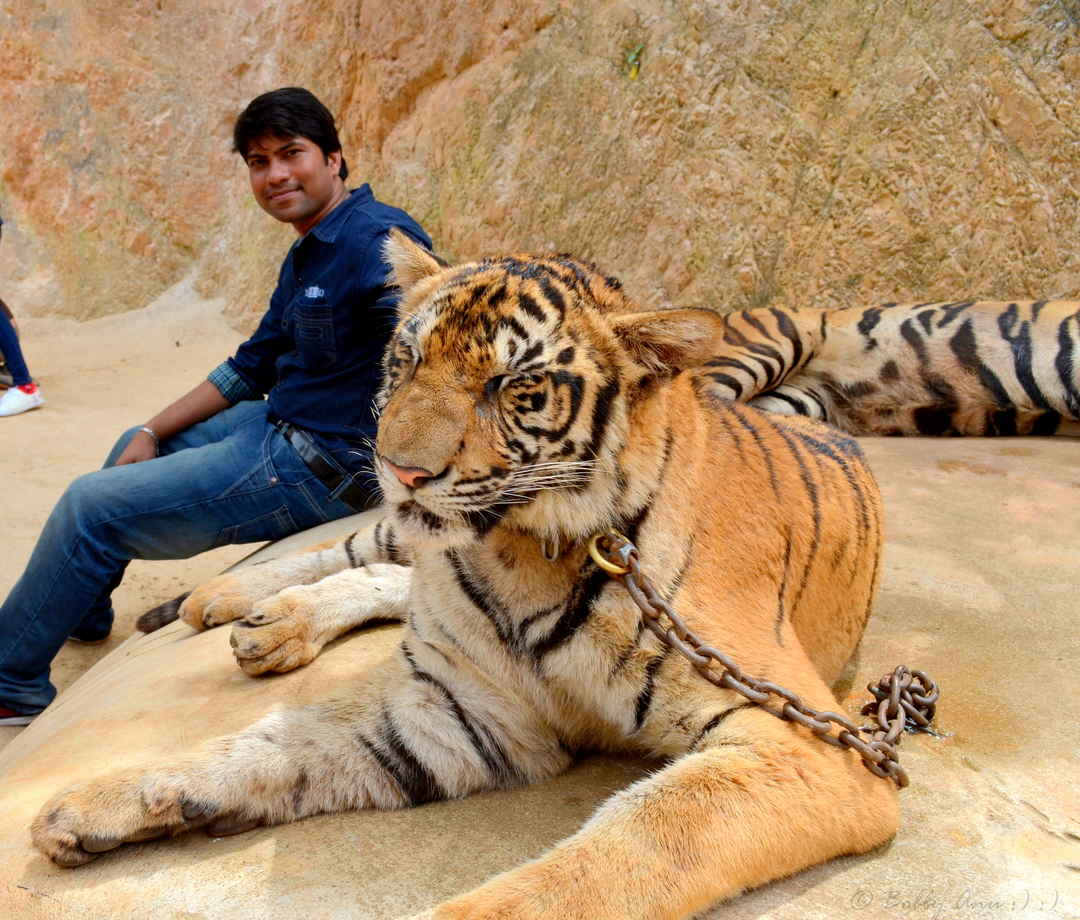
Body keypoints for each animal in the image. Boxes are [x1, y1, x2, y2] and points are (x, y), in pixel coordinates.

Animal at [32, 231, 1078, 920]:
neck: (517, 555)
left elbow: (622, 851)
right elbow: (261, 749)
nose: (400, 466)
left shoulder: (805, 742)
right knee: (370, 557)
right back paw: (239, 604)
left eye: (511, 386)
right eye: (404, 359)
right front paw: (95, 803)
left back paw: (267, 620)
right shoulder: (459, 710)